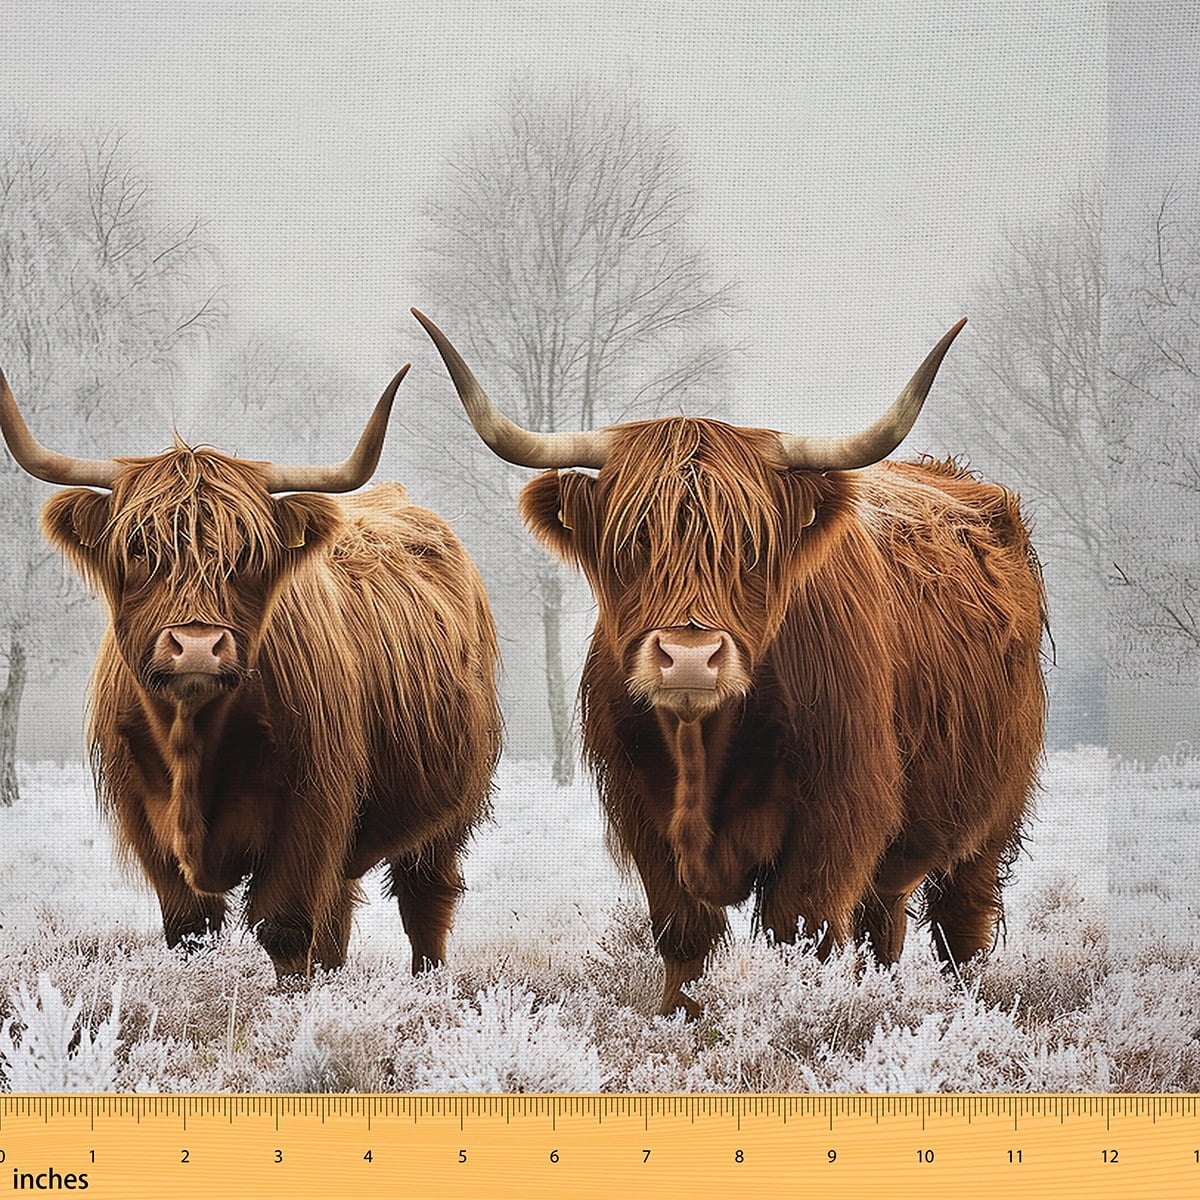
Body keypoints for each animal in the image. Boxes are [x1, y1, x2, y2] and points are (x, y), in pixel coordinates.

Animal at [0, 367, 500, 980]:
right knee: (340, 911)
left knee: (424, 896)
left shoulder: (309, 808)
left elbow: (285, 928)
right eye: (138, 546)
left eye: (248, 554)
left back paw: (426, 983)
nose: (196, 647)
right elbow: (191, 929)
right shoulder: (146, 818)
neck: (193, 738)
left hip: (448, 810)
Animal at [414, 309, 1046, 1017]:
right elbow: (683, 929)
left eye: (750, 545)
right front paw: (678, 1016)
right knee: (884, 920)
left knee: (960, 923)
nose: (689, 658)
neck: (702, 746)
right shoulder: (643, 813)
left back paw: (966, 1008)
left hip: (989, 815)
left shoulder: (835, 813)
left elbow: (799, 929)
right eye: (632, 540)